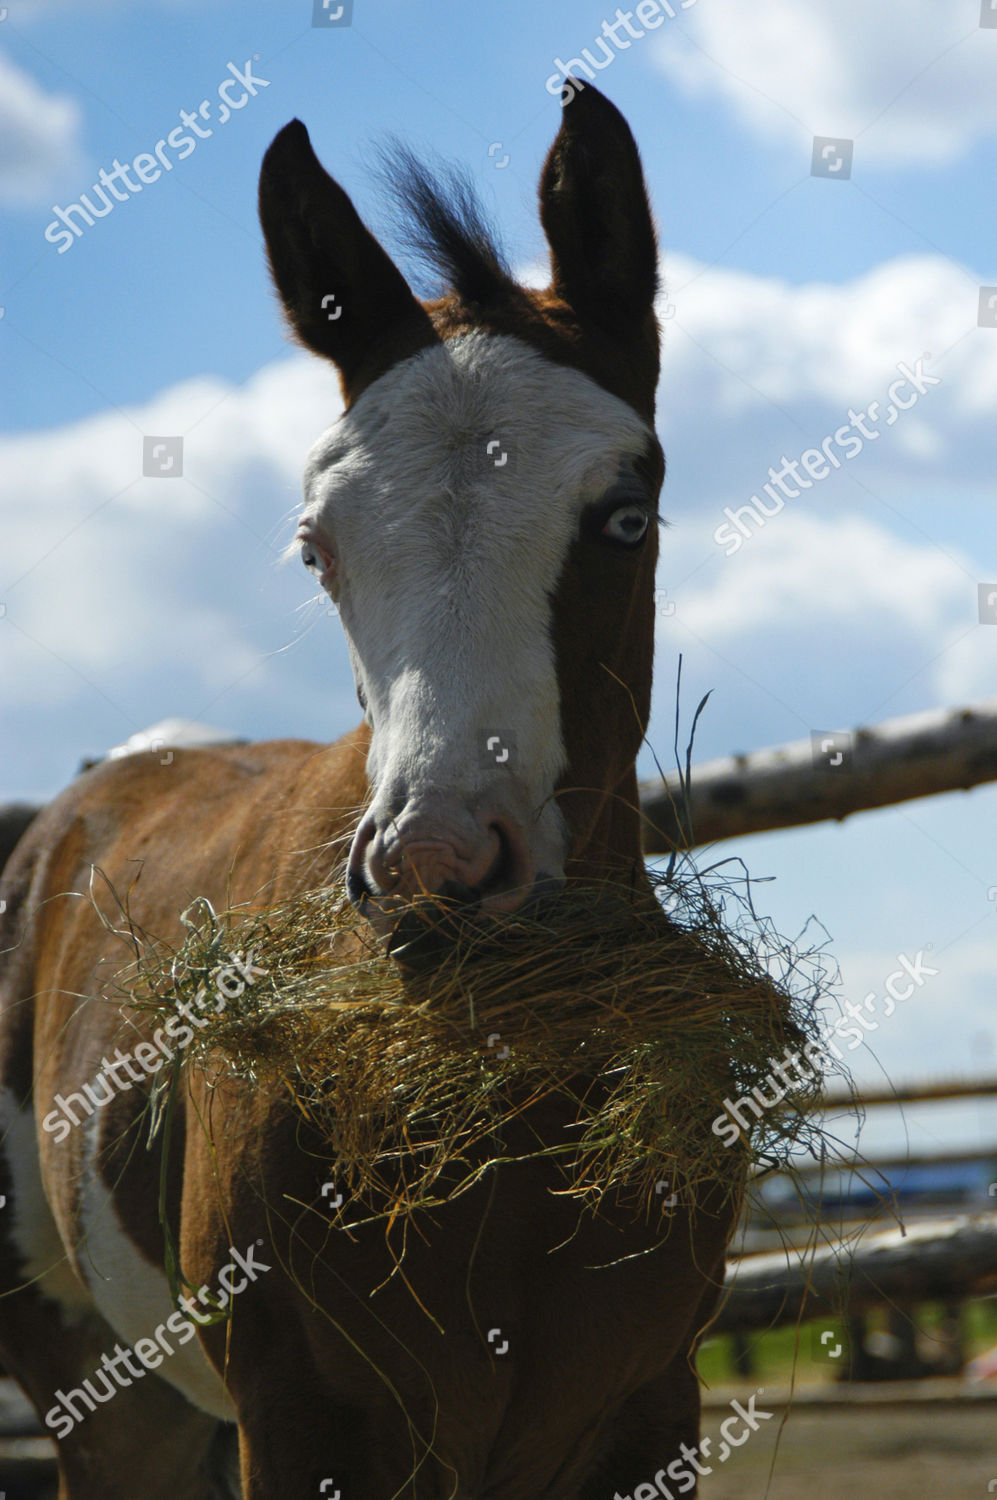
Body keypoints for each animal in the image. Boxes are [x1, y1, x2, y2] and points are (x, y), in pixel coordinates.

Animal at [0, 81, 736, 1498]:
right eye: (315, 545)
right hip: (101, 1401)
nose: (437, 866)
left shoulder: (645, 1417)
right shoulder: (307, 1428)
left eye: (625, 514)